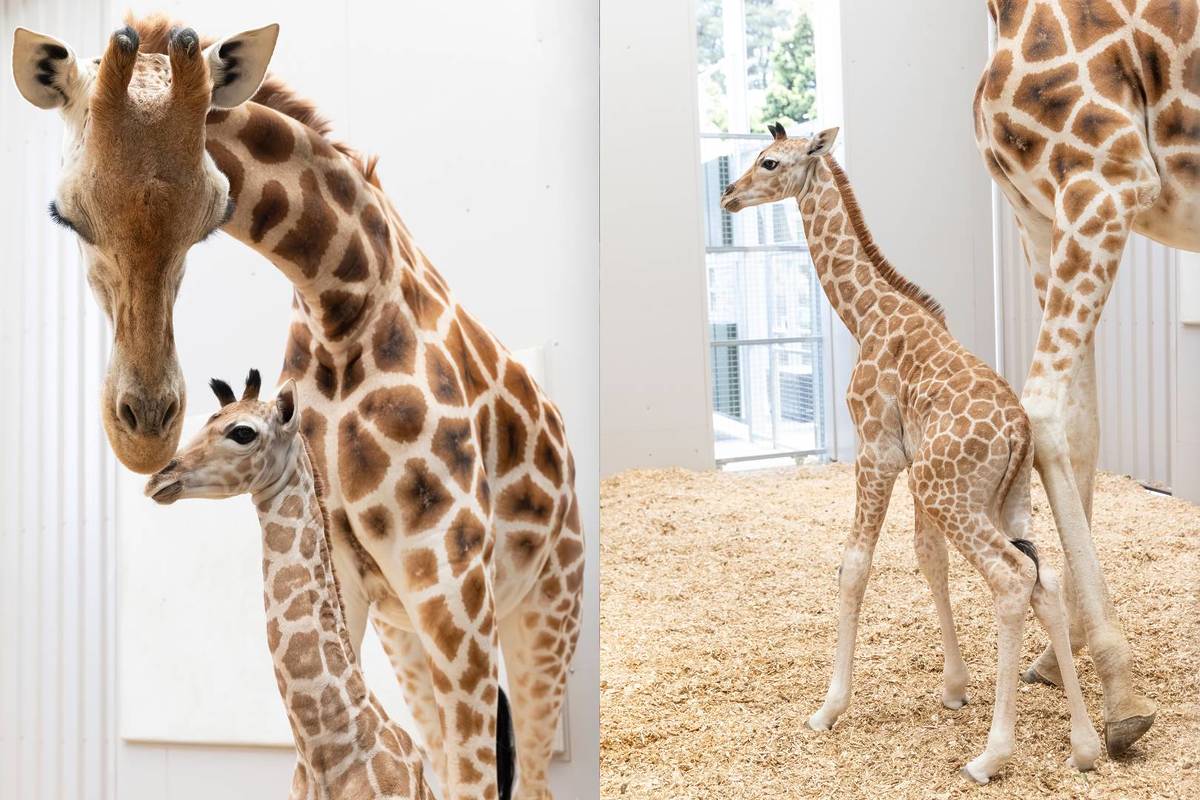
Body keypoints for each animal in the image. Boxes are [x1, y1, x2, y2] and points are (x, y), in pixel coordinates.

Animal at [720, 124, 1101, 782]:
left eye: (768, 162)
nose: (728, 195)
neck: (864, 314)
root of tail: (1019, 434)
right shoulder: (910, 457)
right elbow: (930, 560)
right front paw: (953, 687)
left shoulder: (876, 451)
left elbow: (853, 566)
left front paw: (829, 708)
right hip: (1003, 498)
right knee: (1044, 577)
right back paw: (1083, 746)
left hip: (951, 494)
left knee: (1011, 579)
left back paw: (991, 756)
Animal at [972, 0, 1195, 754]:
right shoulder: (1041, 208)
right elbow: (1081, 427)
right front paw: (1057, 656)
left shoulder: (1108, 176)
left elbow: (1046, 412)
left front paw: (1115, 682)